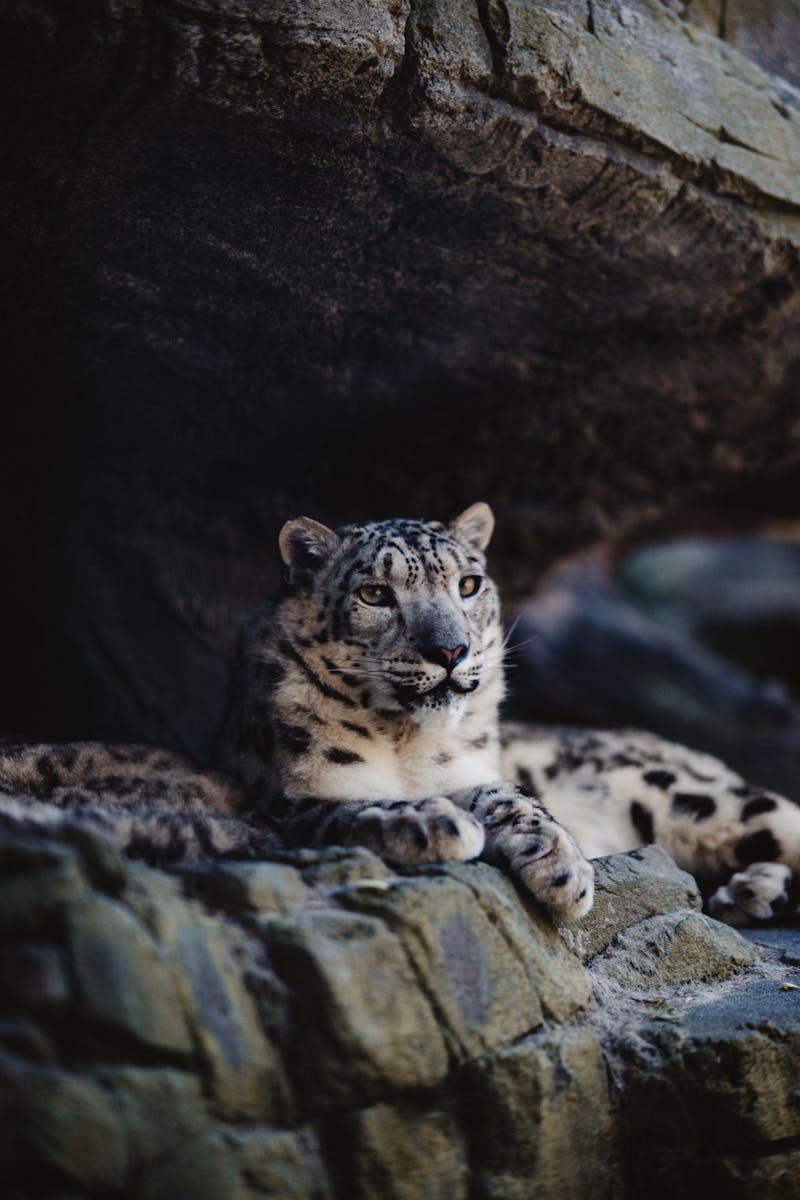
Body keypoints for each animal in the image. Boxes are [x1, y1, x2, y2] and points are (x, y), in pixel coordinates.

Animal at [1, 501, 799, 927]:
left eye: (469, 584)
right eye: (375, 595)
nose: (449, 650)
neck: (408, 745)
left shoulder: (479, 768)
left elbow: (514, 796)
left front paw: (564, 872)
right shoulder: (286, 800)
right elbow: (353, 809)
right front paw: (436, 823)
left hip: (697, 799)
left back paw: (752, 889)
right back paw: (752, 893)